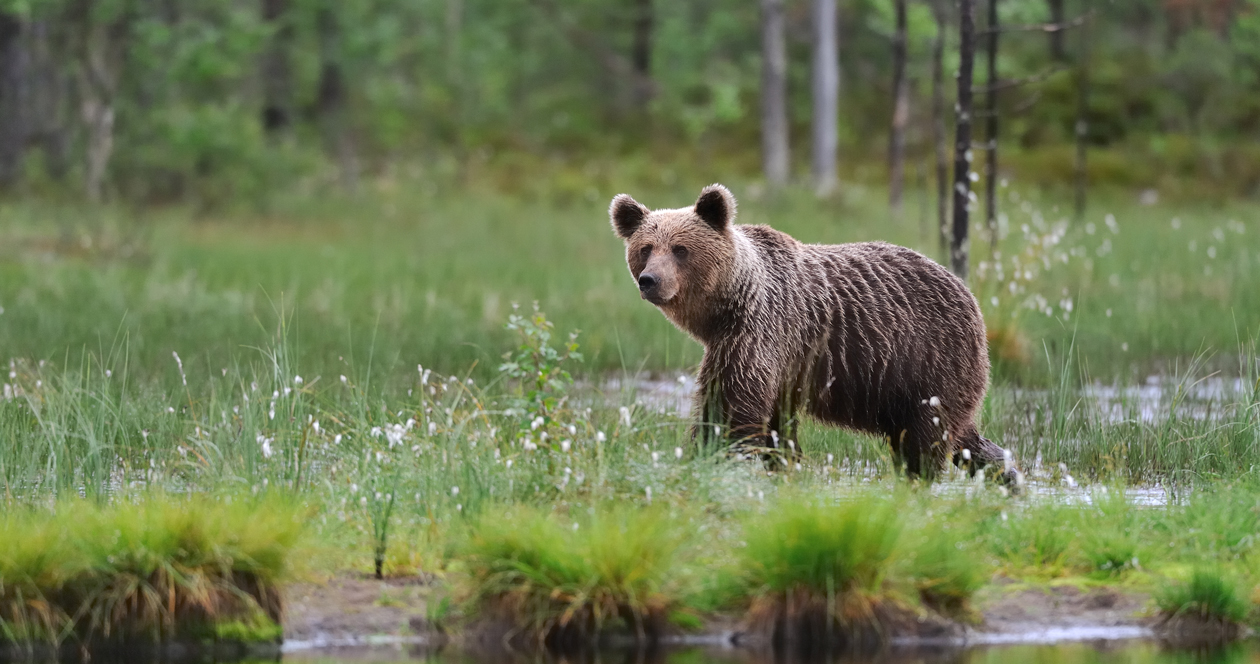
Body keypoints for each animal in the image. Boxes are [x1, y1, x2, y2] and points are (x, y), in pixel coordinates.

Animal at [608, 183, 1017, 482]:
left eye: (680, 249)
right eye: (645, 248)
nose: (650, 280)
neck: (727, 305)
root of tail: (967, 292)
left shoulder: (762, 330)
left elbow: (731, 404)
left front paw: (710, 454)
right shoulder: (770, 357)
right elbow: (768, 419)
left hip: (928, 357)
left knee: (926, 436)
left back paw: (921, 479)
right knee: (960, 435)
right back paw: (1006, 473)